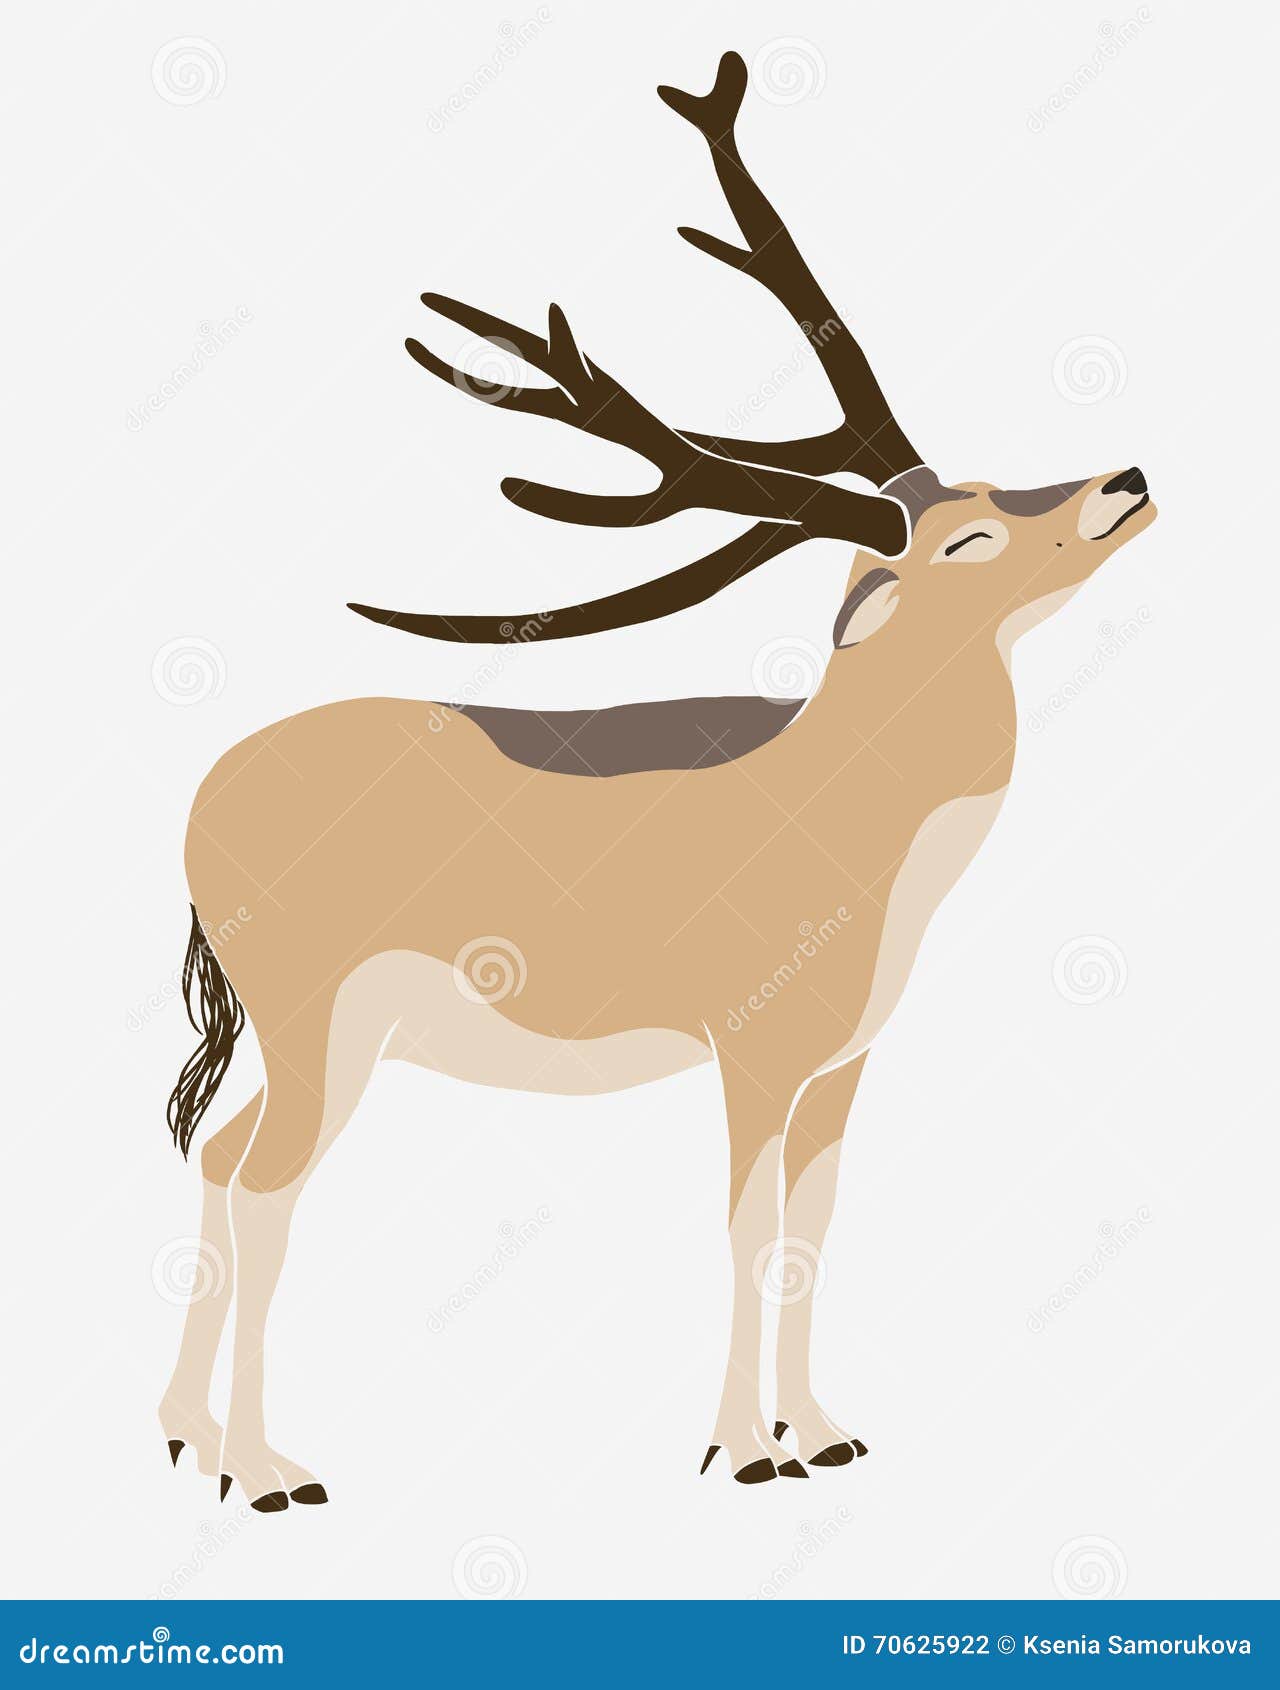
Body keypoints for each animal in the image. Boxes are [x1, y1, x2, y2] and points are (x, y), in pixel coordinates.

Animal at [158, 52, 1156, 1510]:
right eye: (965, 535)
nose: (1125, 479)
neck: (846, 809)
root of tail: (199, 803)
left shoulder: (844, 1061)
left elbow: (814, 1223)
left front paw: (828, 1432)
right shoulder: (751, 1042)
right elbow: (745, 1226)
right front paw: (744, 1454)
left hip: (331, 1037)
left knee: (222, 1157)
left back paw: (185, 1437)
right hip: (309, 1011)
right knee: (263, 1185)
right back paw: (271, 1472)